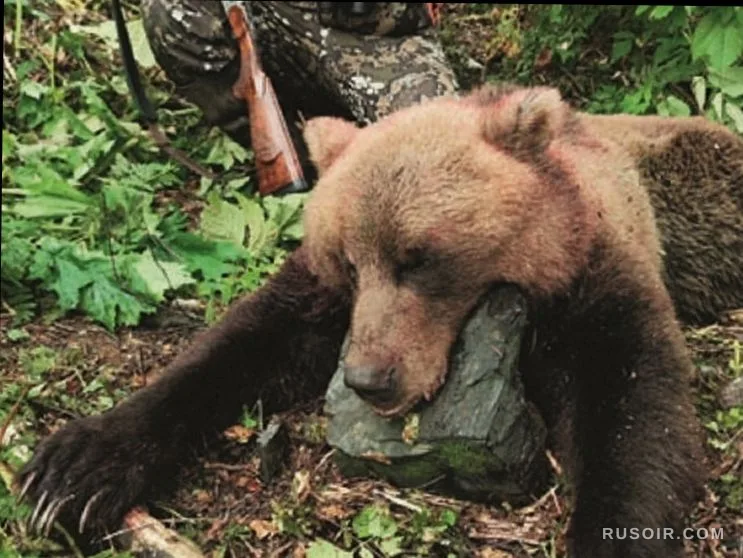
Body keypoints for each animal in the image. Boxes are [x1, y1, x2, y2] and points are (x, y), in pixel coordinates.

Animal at [17, 84, 743, 558]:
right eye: (348, 259)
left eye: (418, 258)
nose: (369, 378)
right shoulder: (321, 298)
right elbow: (238, 347)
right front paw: (72, 470)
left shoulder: (598, 277)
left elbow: (636, 412)